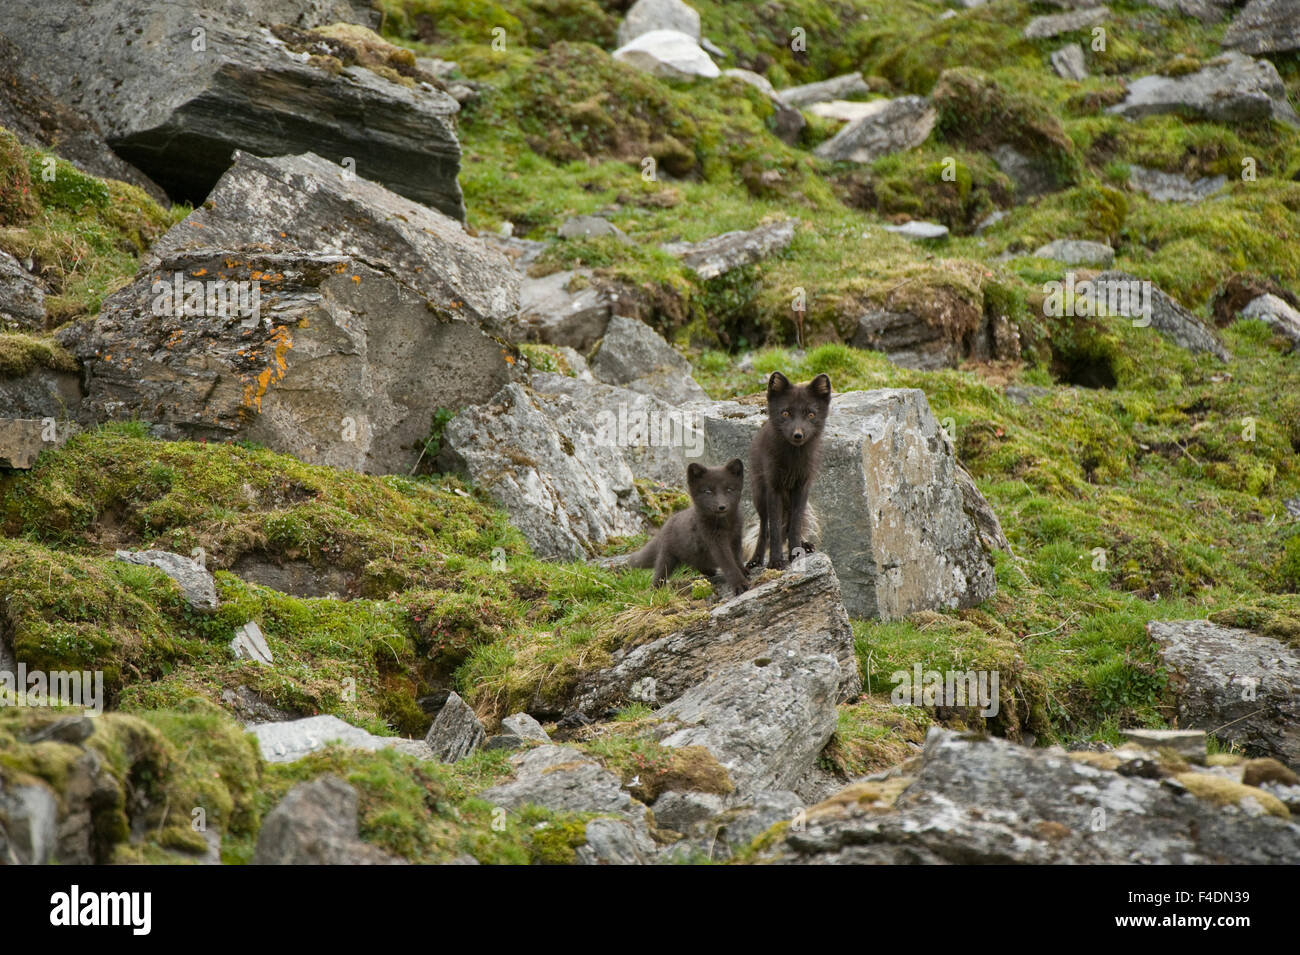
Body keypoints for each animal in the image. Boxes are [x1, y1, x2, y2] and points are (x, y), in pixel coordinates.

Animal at [626, 459, 750, 596]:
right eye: (708, 491)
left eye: (729, 489)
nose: (722, 507)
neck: (726, 526)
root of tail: (664, 527)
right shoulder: (715, 541)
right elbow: (728, 564)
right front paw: (739, 584)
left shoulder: (736, 537)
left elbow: (737, 558)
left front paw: (743, 570)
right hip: (667, 557)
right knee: (659, 575)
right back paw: (654, 591)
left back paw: (710, 571)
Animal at [748, 371, 832, 571]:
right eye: (785, 413)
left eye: (811, 414)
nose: (798, 435)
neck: (793, 460)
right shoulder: (774, 488)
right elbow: (774, 529)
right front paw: (775, 561)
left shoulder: (802, 487)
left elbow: (795, 524)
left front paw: (796, 552)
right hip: (760, 496)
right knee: (764, 528)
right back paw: (756, 559)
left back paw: (804, 544)